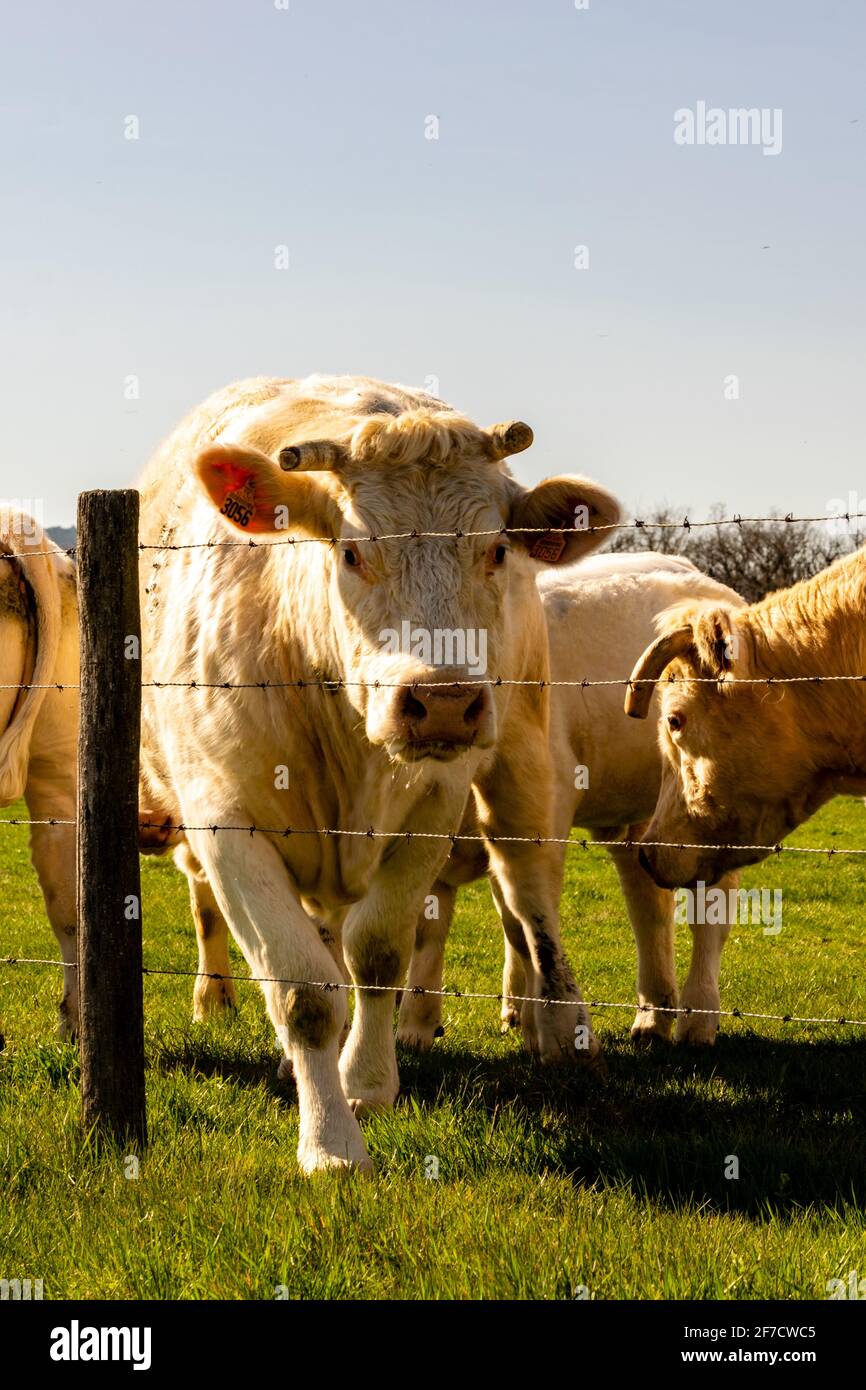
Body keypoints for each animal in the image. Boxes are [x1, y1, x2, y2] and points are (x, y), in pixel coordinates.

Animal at [137, 375, 621, 1173]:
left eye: (496, 550)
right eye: (354, 553)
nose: (445, 702)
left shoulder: (436, 800)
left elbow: (379, 952)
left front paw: (364, 1086)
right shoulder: (224, 821)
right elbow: (304, 992)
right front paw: (330, 1142)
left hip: (520, 753)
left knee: (528, 892)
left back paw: (558, 1026)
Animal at [395, 552, 745, 1051]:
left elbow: (527, 923)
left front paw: (541, 1027)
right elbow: (435, 927)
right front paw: (416, 1027)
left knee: (710, 914)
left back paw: (697, 1019)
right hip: (640, 821)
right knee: (649, 908)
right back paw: (652, 1015)